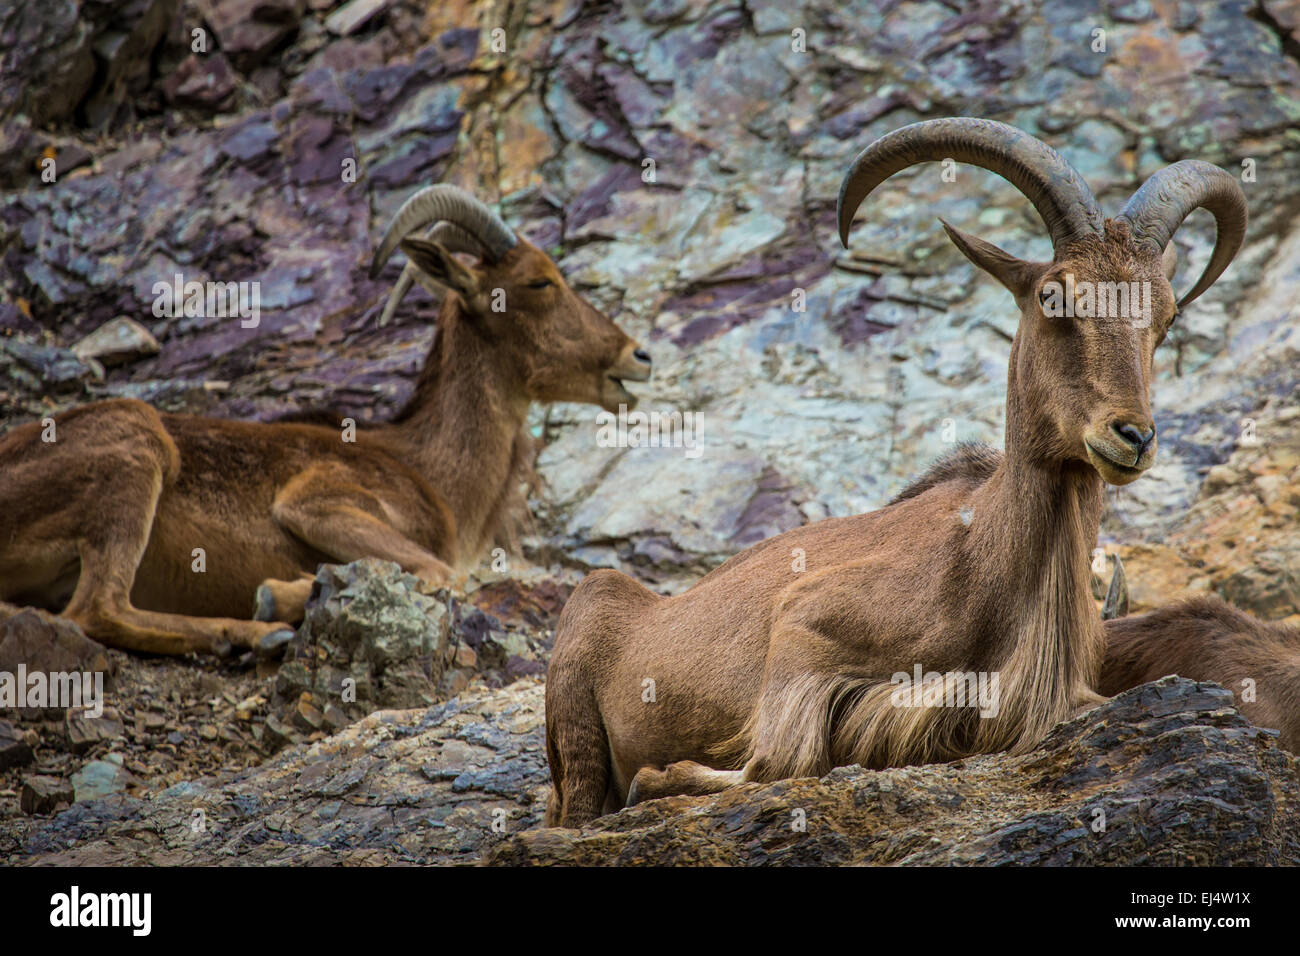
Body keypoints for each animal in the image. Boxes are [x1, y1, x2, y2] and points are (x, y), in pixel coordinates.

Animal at [0, 186, 652, 657]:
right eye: (540, 280)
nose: (637, 356)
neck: (429, 469)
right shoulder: (318, 503)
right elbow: (438, 572)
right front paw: (277, 596)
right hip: (134, 455)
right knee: (96, 609)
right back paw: (251, 633)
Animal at [543, 118, 1247, 826]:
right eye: (1055, 296)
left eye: (1166, 317)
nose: (1133, 436)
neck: (985, 558)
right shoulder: (802, 628)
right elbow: (776, 762)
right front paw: (660, 778)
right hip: (581, 689)